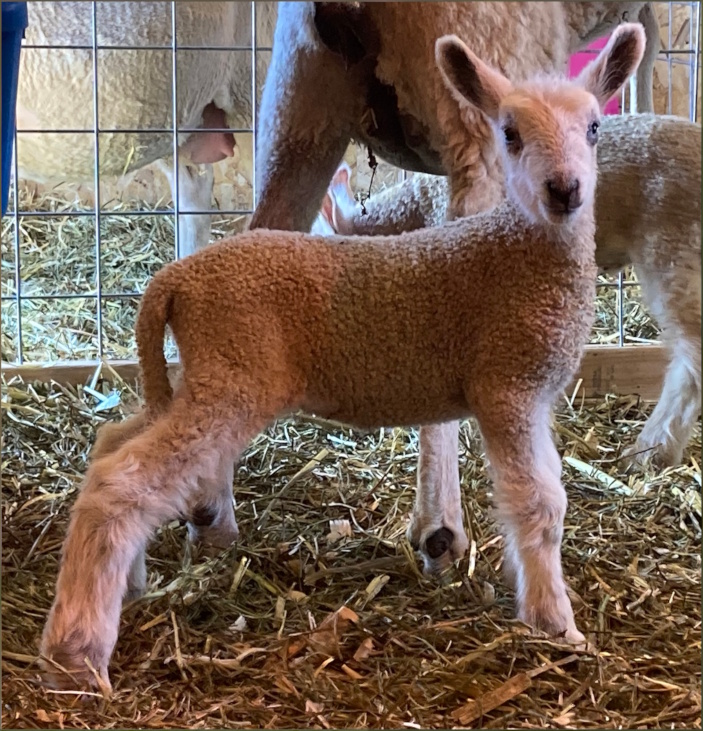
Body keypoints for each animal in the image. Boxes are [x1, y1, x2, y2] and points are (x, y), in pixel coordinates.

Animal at [38, 23, 646, 689]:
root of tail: (174, 280)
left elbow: (547, 497)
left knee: (110, 443)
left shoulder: (533, 395)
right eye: (509, 132)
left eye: (594, 128)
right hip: (233, 374)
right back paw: (76, 651)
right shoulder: (506, 386)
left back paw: (128, 584)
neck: (523, 251)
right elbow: (539, 505)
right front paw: (556, 625)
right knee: (121, 481)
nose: (565, 190)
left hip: (206, 375)